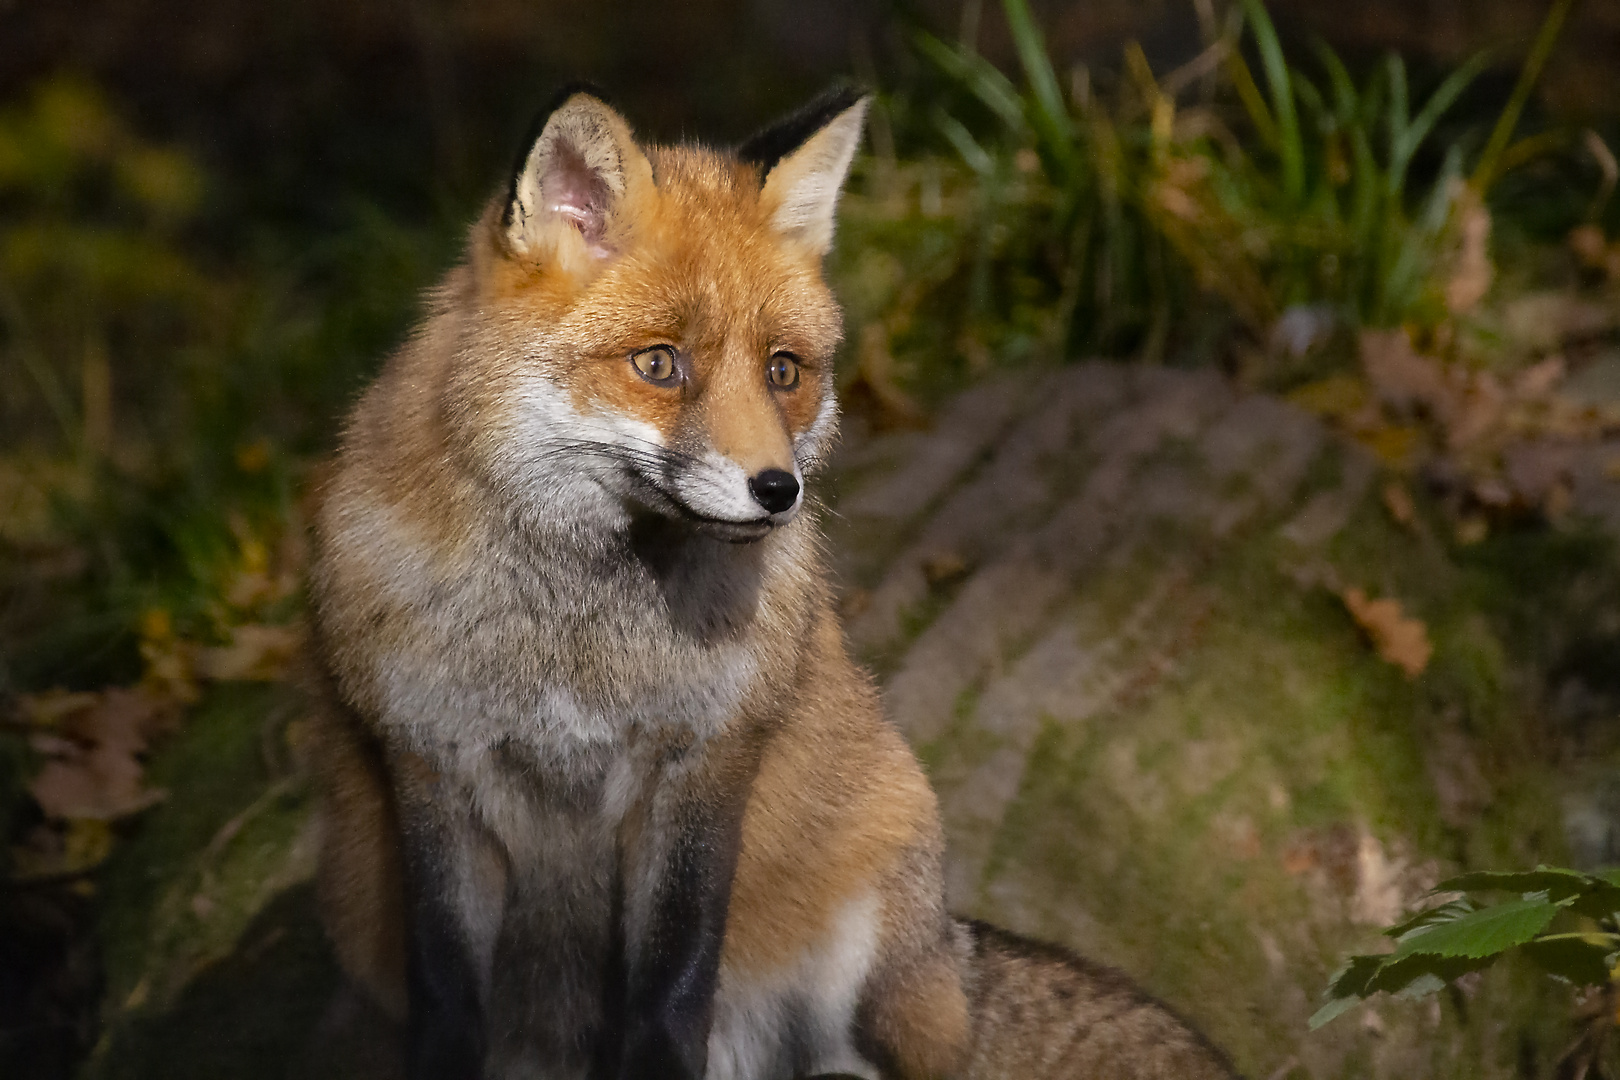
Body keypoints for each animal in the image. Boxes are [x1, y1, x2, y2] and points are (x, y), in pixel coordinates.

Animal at [307, 84, 1240, 1080]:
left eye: (782, 370)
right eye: (658, 364)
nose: (778, 490)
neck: (578, 638)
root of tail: (952, 941)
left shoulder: (705, 760)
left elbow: (672, 986)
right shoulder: (430, 762)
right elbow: (447, 996)